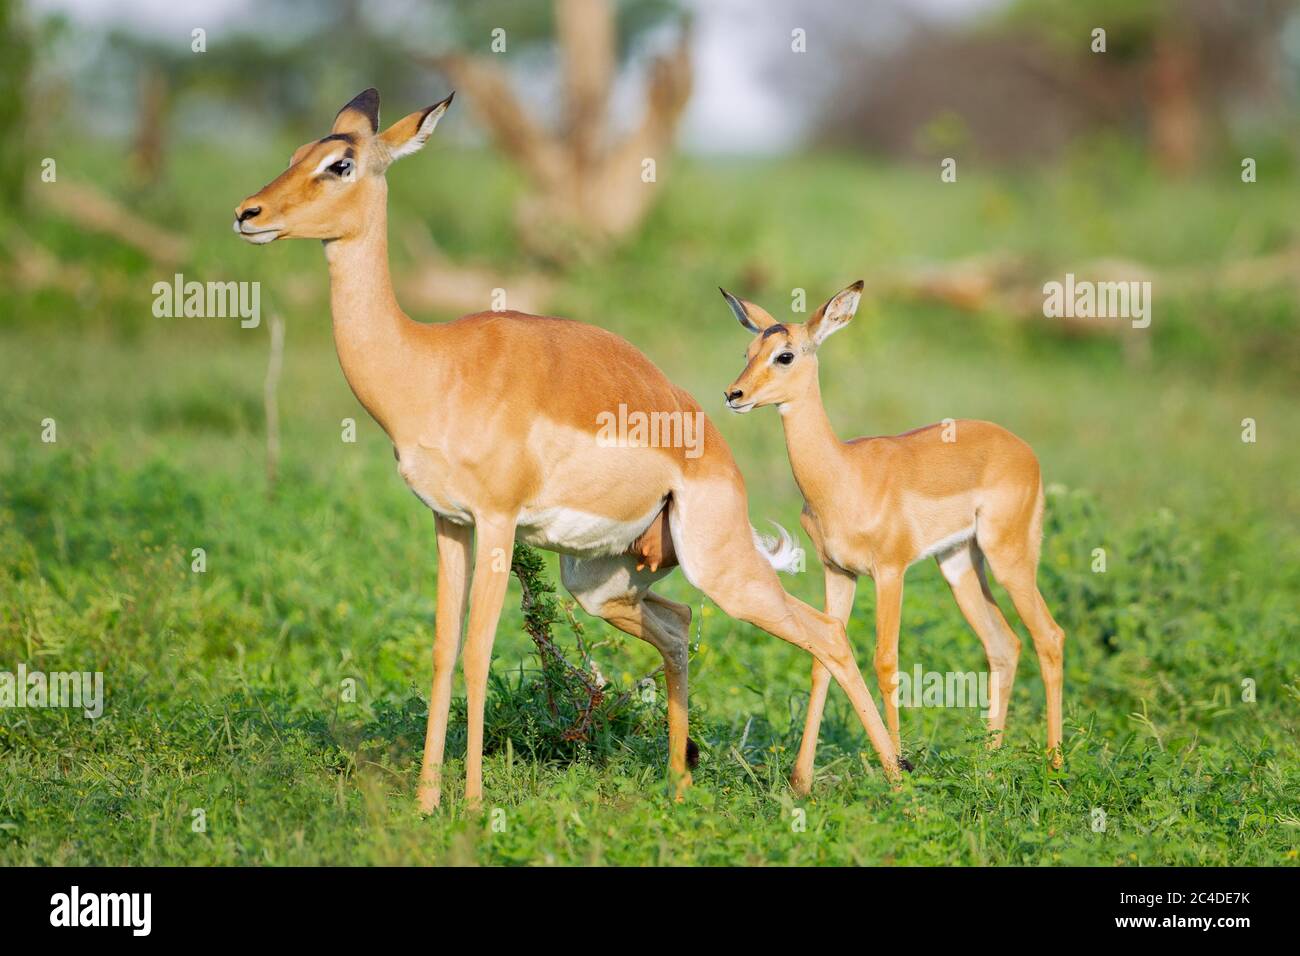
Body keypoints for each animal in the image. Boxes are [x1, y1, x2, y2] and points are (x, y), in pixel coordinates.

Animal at [233, 90, 901, 811]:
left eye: (340, 164)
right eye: (296, 153)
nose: (248, 213)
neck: (429, 365)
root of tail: (714, 443)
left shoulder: (497, 521)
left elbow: (477, 650)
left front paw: (472, 805)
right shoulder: (448, 522)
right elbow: (443, 650)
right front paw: (426, 803)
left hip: (721, 570)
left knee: (825, 632)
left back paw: (892, 780)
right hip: (599, 581)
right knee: (680, 624)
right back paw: (682, 783)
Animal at [721, 281, 1066, 794]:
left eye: (785, 355)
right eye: (747, 351)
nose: (734, 394)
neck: (842, 475)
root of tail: (1025, 451)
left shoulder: (890, 572)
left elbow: (886, 662)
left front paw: (898, 771)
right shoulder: (838, 572)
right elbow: (822, 661)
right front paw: (800, 782)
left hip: (1010, 558)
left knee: (1049, 637)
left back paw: (1056, 767)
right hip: (958, 564)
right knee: (1004, 645)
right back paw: (988, 765)